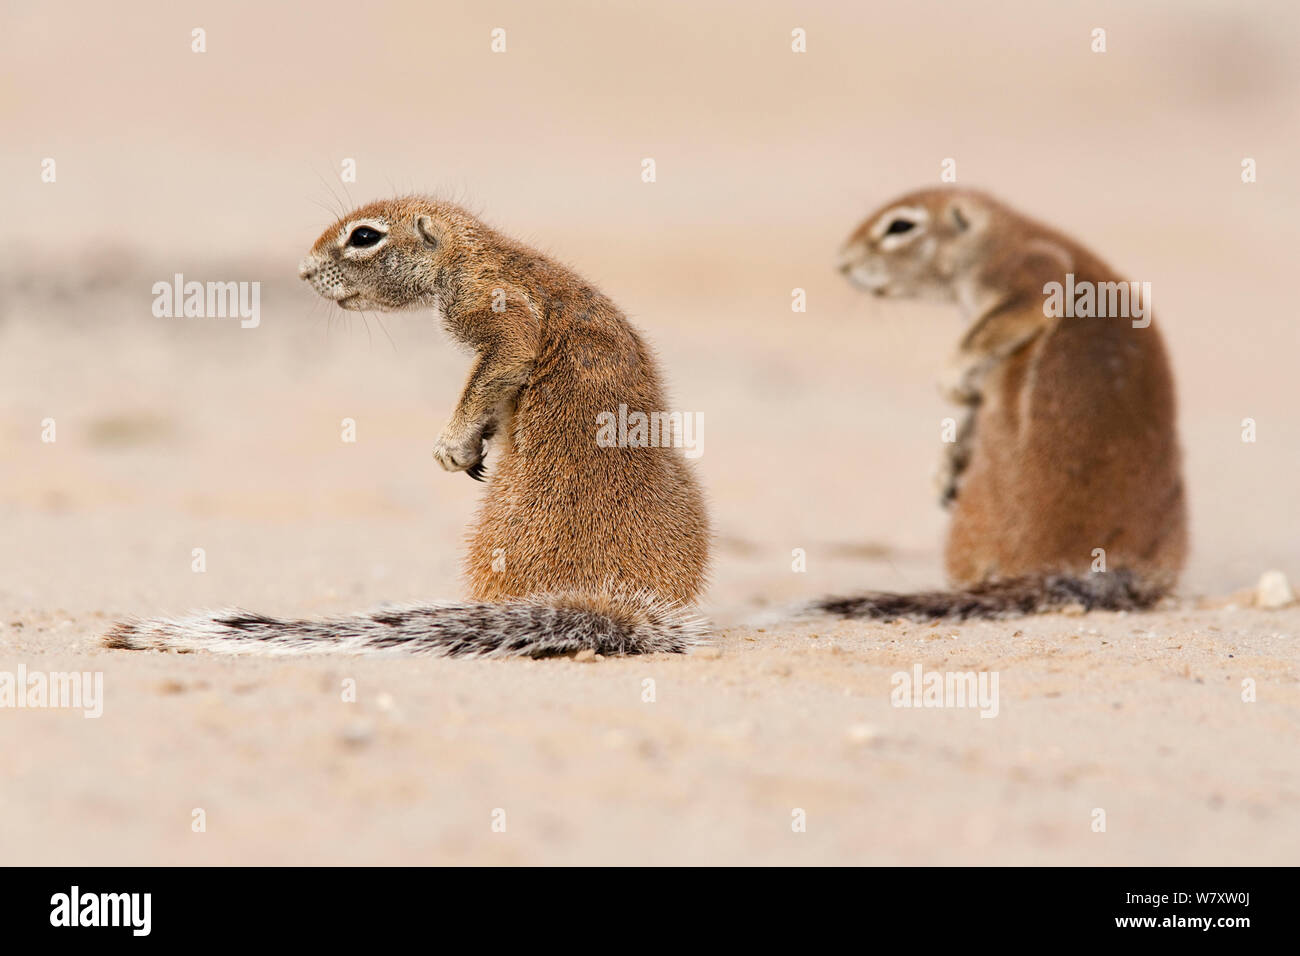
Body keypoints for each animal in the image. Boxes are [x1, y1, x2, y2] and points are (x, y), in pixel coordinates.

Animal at [105, 197, 710, 657]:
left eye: (364, 236)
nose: (303, 271)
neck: (474, 249)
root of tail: (603, 603)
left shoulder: (494, 306)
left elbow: (502, 360)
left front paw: (452, 445)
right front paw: (475, 444)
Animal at [814, 187, 1187, 620]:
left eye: (900, 226)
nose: (841, 263)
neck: (1000, 233)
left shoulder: (1027, 268)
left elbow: (1007, 321)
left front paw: (951, 382)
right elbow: (972, 408)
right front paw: (945, 467)